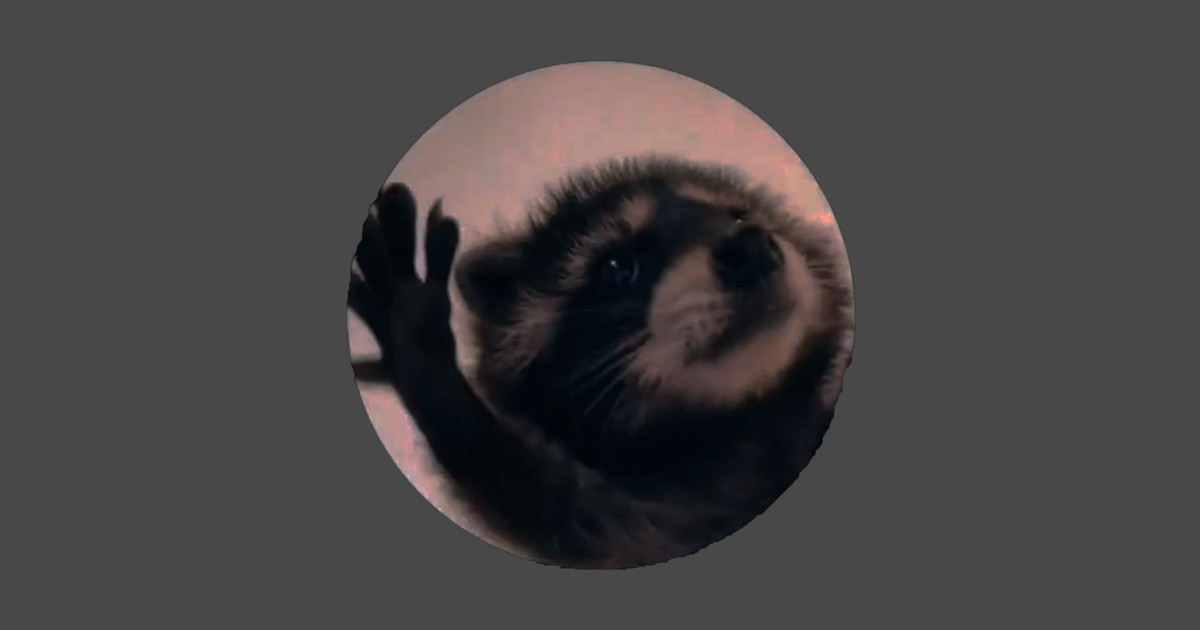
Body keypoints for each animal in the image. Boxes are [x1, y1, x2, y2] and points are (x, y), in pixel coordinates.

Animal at [348, 155, 853, 569]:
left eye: (740, 215)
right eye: (618, 267)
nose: (750, 247)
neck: (735, 427)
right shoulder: (656, 527)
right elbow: (549, 503)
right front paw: (424, 356)